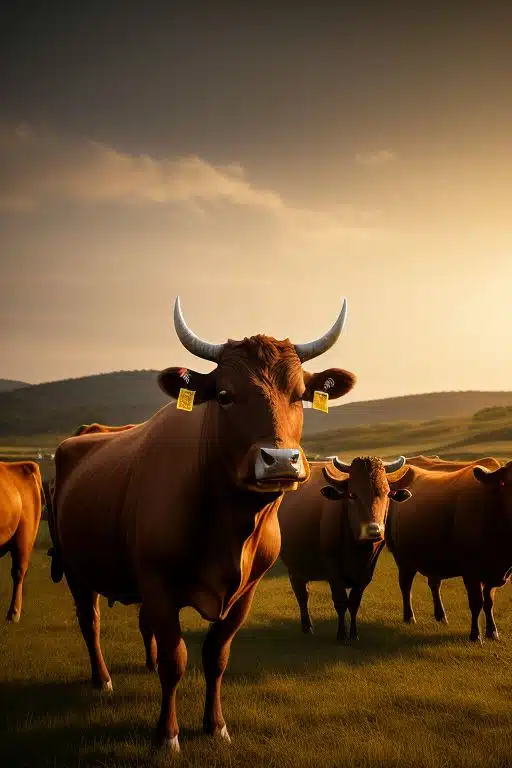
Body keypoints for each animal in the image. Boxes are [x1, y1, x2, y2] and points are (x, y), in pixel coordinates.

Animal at [49, 295, 356, 753]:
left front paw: (216, 724)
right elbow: (175, 661)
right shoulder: (158, 585)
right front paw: (167, 734)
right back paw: (102, 679)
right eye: (225, 395)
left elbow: (216, 657)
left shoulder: (245, 593)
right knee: (91, 622)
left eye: (301, 396)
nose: (280, 461)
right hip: (74, 568)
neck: (230, 527)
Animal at [279, 455, 412, 642]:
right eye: (352, 494)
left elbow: (354, 601)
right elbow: (341, 601)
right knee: (301, 594)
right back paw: (307, 627)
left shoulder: (366, 572)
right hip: (294, 568)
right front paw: (341, 634)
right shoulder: (332, 570)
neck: (356, 547)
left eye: (387, 493)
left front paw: (354, 633)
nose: (374, 530)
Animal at [387, 459, 512, 642]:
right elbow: (476, 603)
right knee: (405, 586)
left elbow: (489, 602)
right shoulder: (471, 572)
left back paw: (441, 616)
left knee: (434, 585)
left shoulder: (492, 572)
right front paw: (475, 635)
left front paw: (492, 632)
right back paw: (409, 617)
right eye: (510, 483)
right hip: (403, 559)